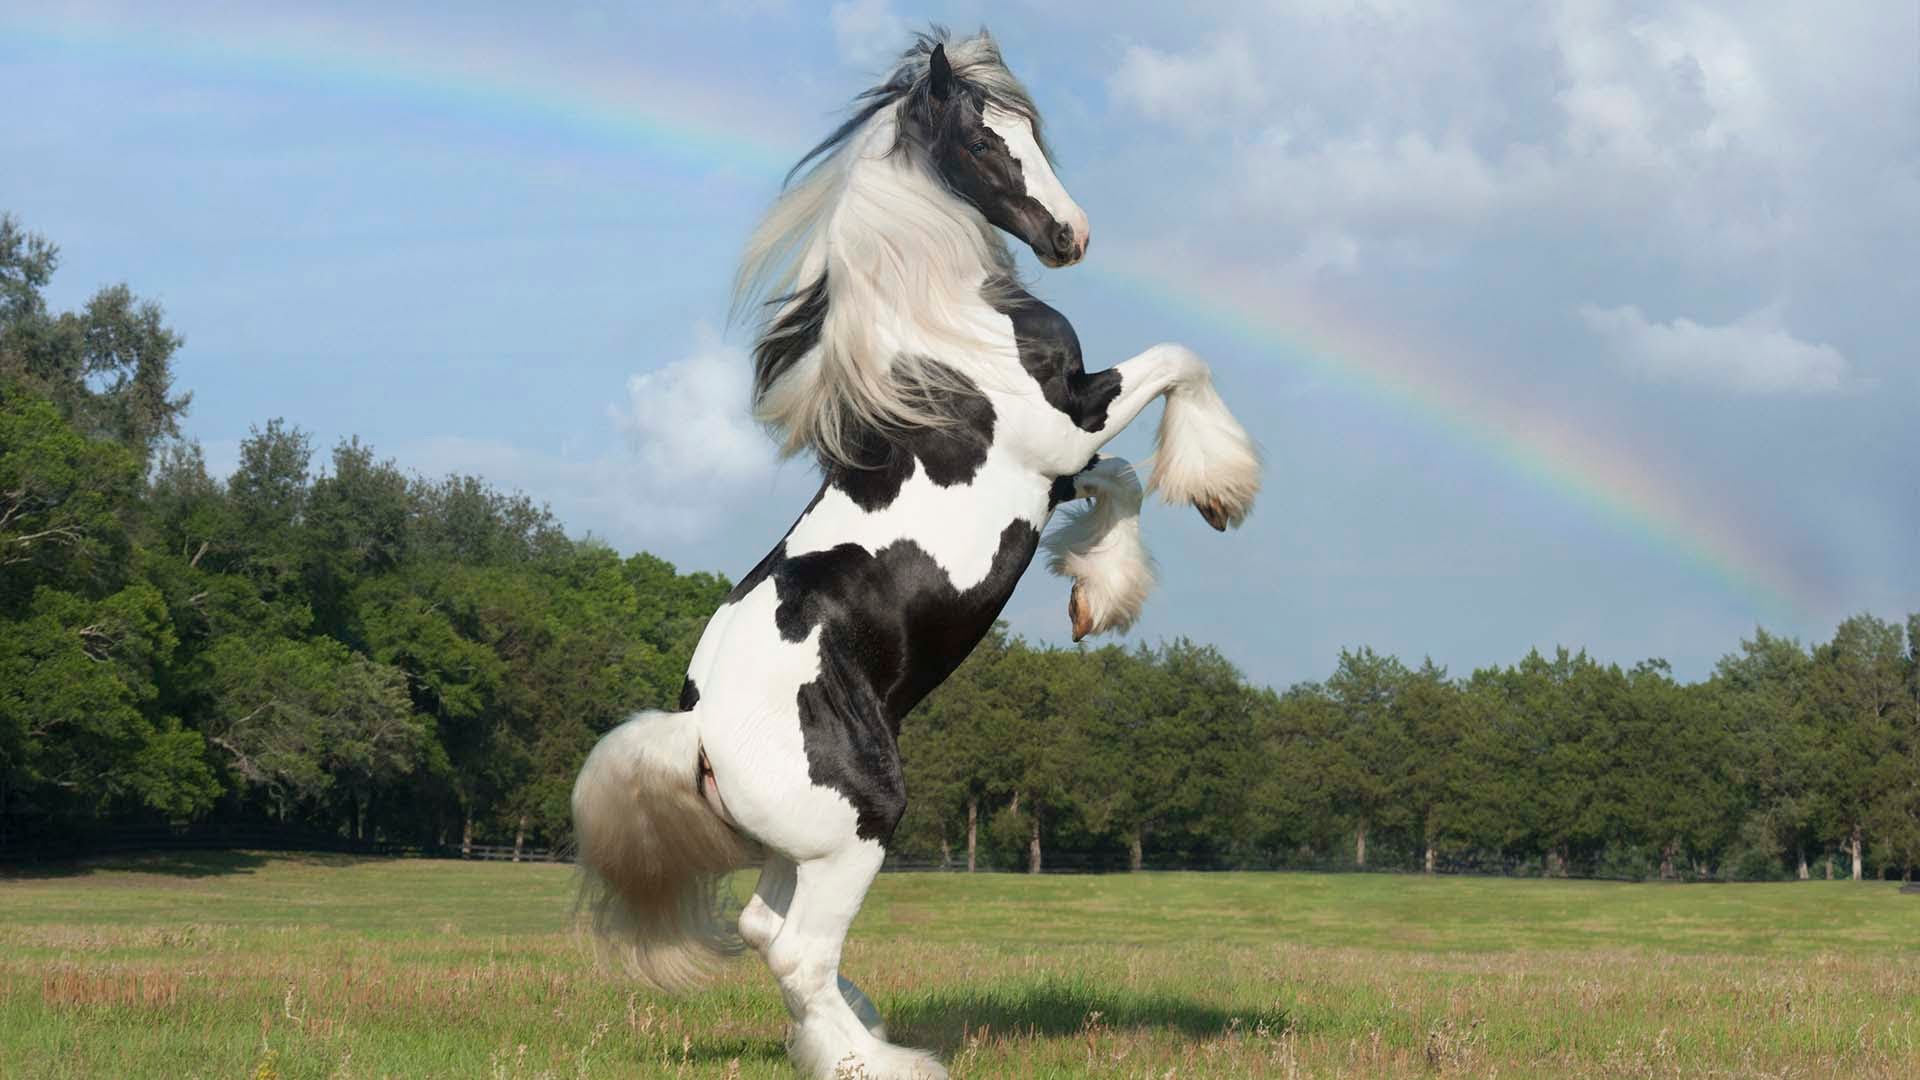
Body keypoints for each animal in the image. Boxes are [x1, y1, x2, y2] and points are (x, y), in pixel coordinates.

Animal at [572, 29, 1261, 1079]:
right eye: (982, 141)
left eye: (1032, 130)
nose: (1071, 236)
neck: (945, 333)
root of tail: (693, 735)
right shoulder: (1065, 426)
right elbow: (1181, 360)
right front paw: (1222, 485)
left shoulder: (1060, 469)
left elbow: (1123, 483)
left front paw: (1097, 594)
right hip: (860, 823)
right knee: (800, 950)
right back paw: (879, 1064)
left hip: (800, 848)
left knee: (771, 935)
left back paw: (863, 1038)